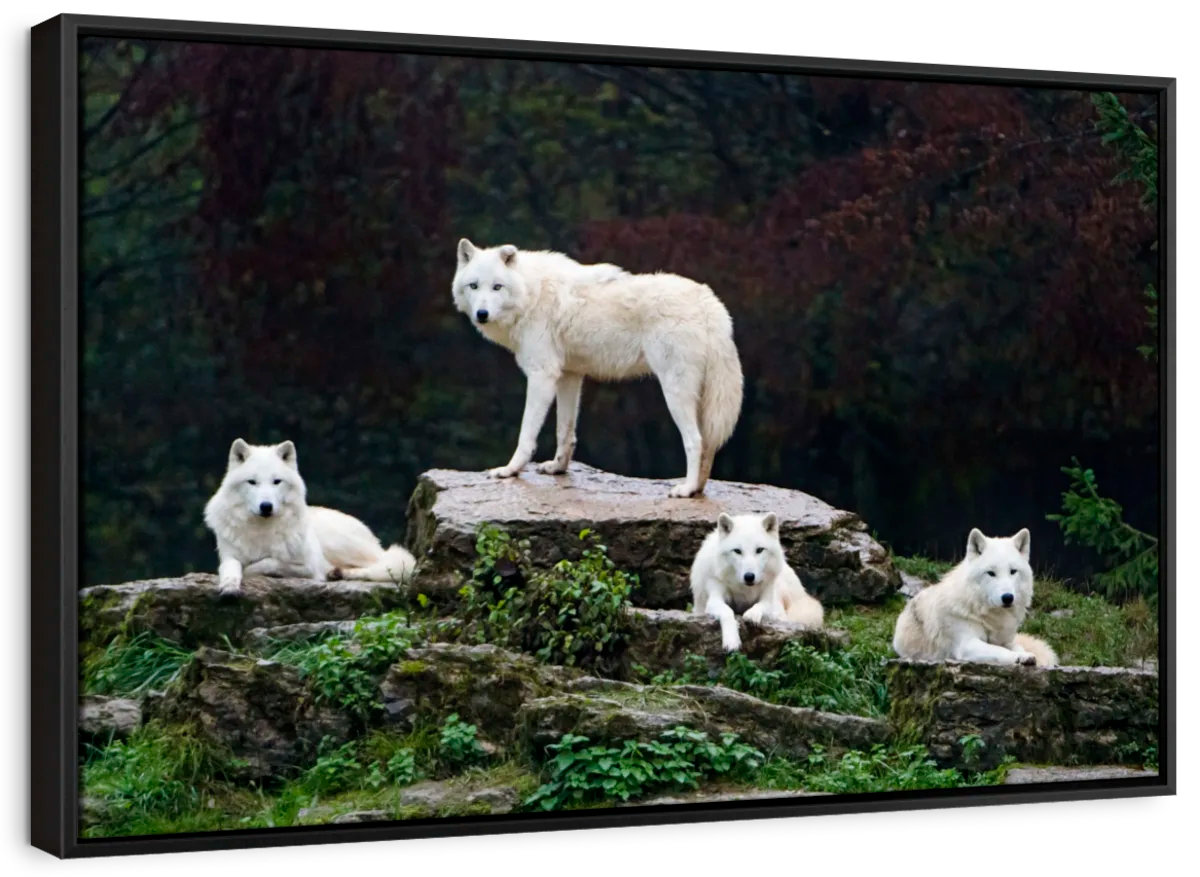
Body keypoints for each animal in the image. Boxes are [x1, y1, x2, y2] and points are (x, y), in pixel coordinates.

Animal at [203, 438, 416, 595]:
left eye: (276, 481)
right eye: (252, 482)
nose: (266, 506)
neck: (262, 532)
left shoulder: (310, 567)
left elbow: (268, 563)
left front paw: (249, 570)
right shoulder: (229, 556)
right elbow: (230, 567)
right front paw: (229, 586)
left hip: (340, 544)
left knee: (388, 564)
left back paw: (338, 572)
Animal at [451, 239, 744, 497]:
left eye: (497, 287)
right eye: (474, 286)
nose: (482, 314)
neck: (531, 294)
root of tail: (708, 302)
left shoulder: (542, 375)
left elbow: (526, 434)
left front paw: (510, 470)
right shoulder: (568, 376)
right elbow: (565, 431)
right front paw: (558, 468)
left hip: (676, 392)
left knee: (696, 441)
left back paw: (686, 490)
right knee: (709, 444)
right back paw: (698, 488)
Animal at [689, 512, 824, 652]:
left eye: (759, 550)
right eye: (737, 551)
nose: (749, 576)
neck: (743, 590)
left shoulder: (770, 600)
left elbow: (761, 605)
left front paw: (751, 615)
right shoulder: (714, 597)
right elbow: (727, 611)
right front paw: (732, 641)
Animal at [892, 528, 1058, 666]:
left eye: (1013, 571)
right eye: (991, 573)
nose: (1008, 597)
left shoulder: (1007, 640)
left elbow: (1017, 647)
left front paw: (1025, 655)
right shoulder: (967, 644)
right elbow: (998, 650)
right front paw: (1019, 658)